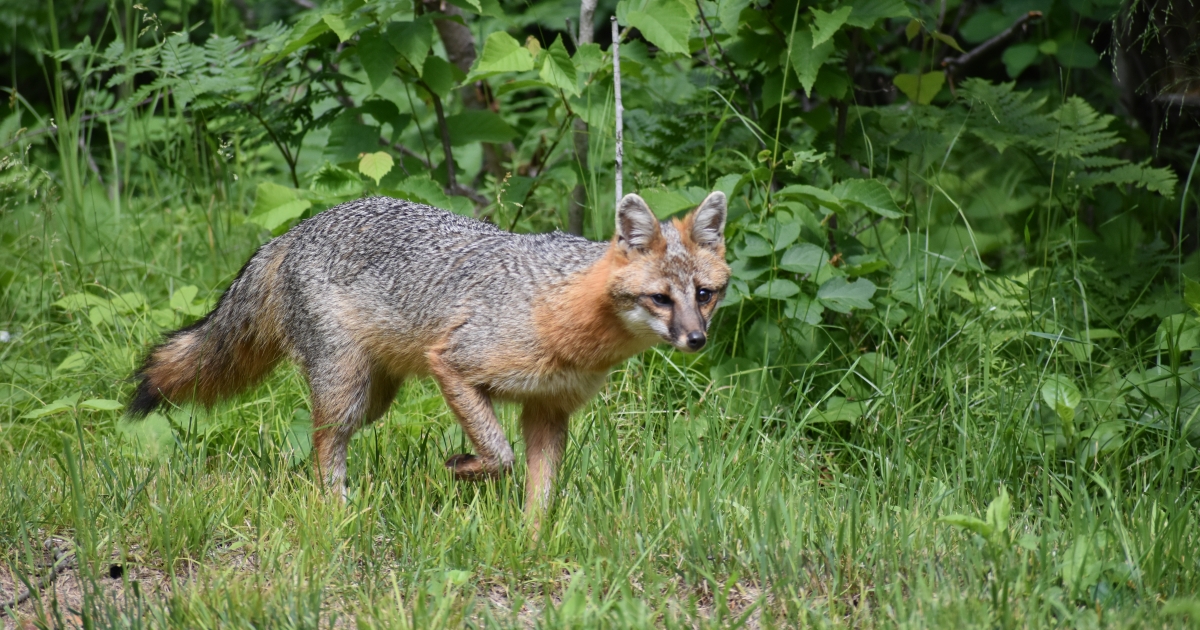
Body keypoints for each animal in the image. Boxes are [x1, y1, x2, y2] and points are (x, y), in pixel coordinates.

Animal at [127, 191, 730, 515]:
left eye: (705, 294)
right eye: (660, 299)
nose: (696, 340)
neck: (561, 310)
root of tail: (294, 231)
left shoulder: (548, 408)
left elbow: (540, 492)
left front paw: (533, 541)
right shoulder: (455, 365)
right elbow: (500, 455)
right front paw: (460, 468)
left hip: (374, 400)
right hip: (346, 391)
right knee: (323, 446)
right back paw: (337, 511)